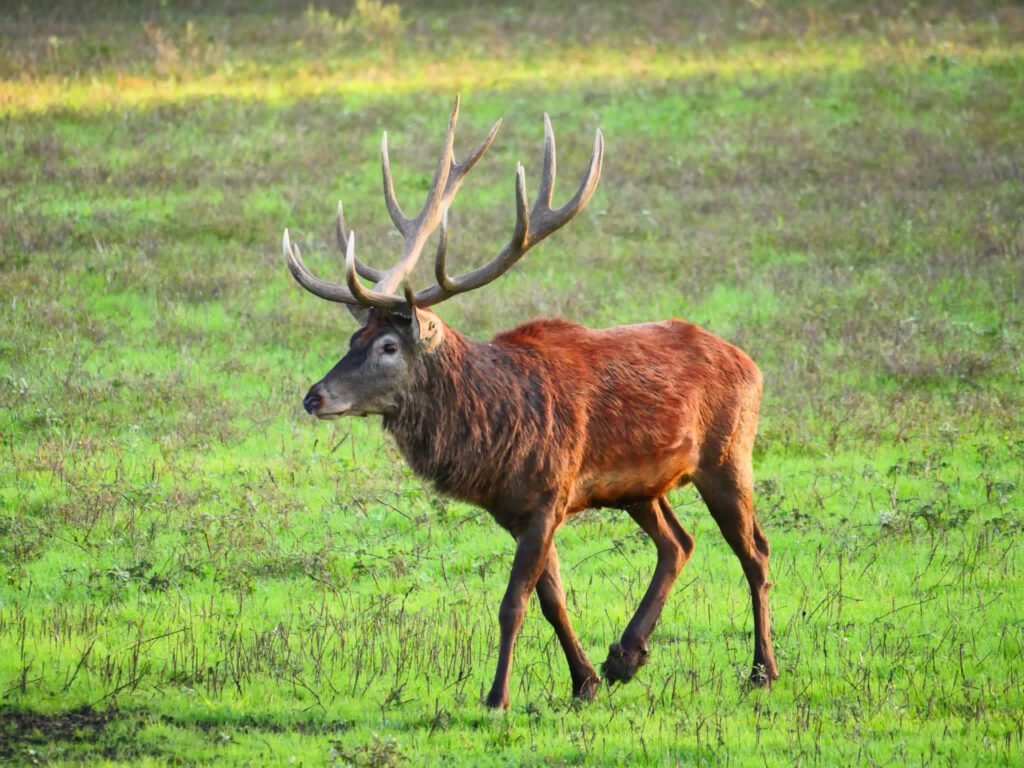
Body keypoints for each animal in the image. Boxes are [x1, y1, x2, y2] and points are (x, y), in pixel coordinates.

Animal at [282, 96, 778, 710]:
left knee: (754, 553)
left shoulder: (547, 496)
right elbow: (553, 600)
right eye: (353, 338)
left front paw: (496, 697)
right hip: (642, 485)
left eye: (389, 346)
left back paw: (761, 670)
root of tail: (751, 363)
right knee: (678, 543)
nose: (314, 396)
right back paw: (626, 656)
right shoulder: (517, 511)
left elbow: (513, 604)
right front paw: (585, 680)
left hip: (728, 454)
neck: (496, 438)